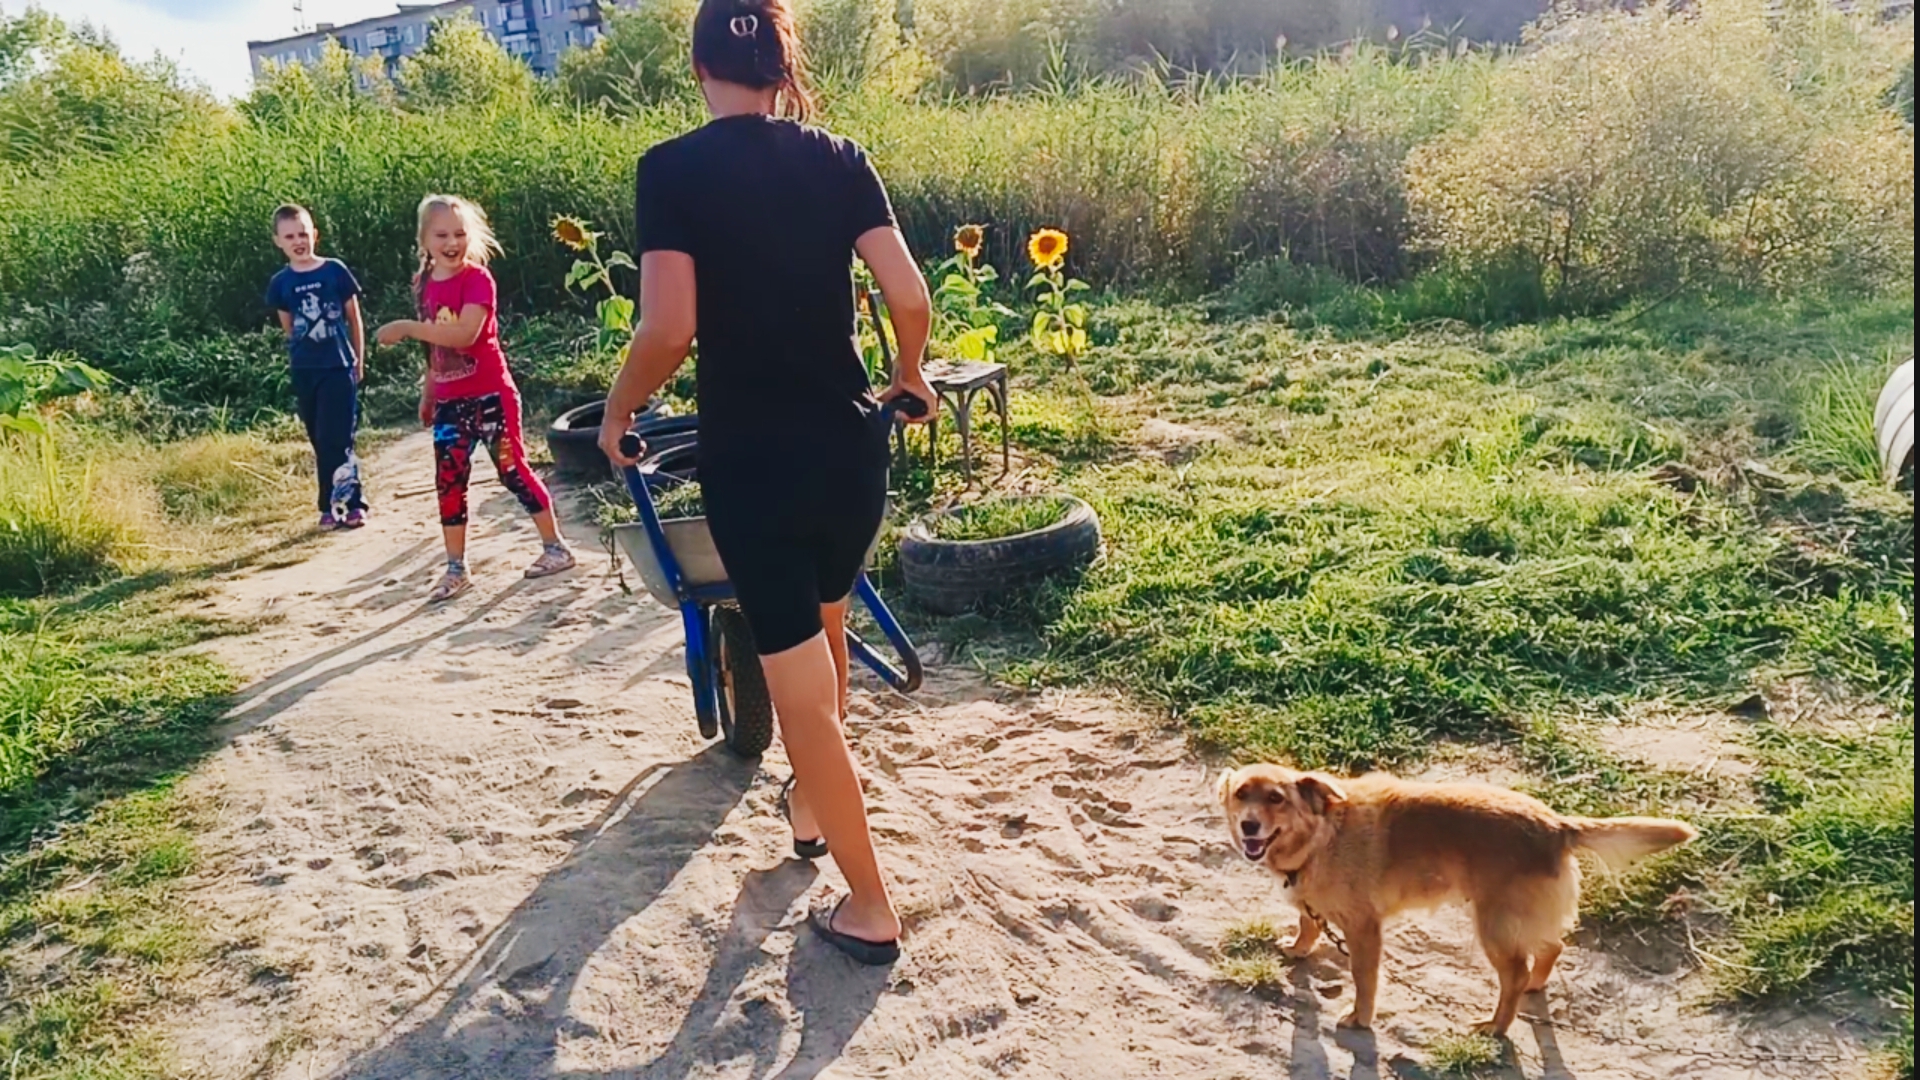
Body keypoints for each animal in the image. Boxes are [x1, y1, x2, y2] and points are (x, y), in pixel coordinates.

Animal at [1218, 763, 1696, 1036]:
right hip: (1519, 920)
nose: (1249, 826)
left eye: (1276, 798)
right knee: (1551, 947)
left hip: (1494, 927)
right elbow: (1308, 924)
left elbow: (1363, 979)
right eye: (1242, 794)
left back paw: (1497, 1027)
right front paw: (1299, 949)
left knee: (1515, 975)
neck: (1322, 836)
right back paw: (1536, 986)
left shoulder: (1364, 929)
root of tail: (1557, 825)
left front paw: (1361, 1019)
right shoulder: (1315, 907)